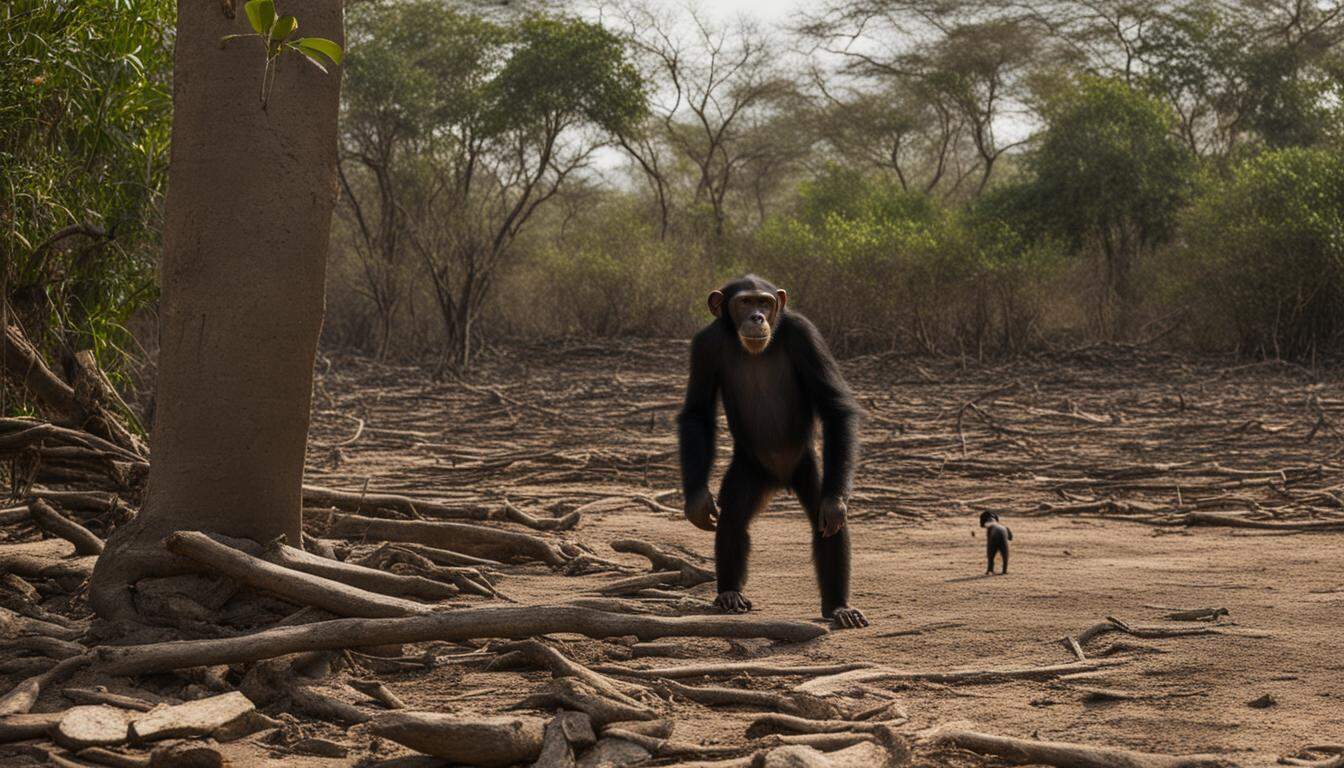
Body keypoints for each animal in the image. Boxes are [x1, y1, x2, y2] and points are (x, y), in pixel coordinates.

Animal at [677, 275, 867, 629]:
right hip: (749, 470)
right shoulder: (704, 345)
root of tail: (780, 481)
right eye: (744, 302)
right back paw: (730, 593)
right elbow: (698, 413)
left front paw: (835, 503)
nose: (756, 317)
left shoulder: (806, 335)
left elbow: (835, 407)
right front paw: (697, 501)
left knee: (827, 524)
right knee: (733, 520)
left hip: (808, 466)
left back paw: (838, 607)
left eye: (764, 303)